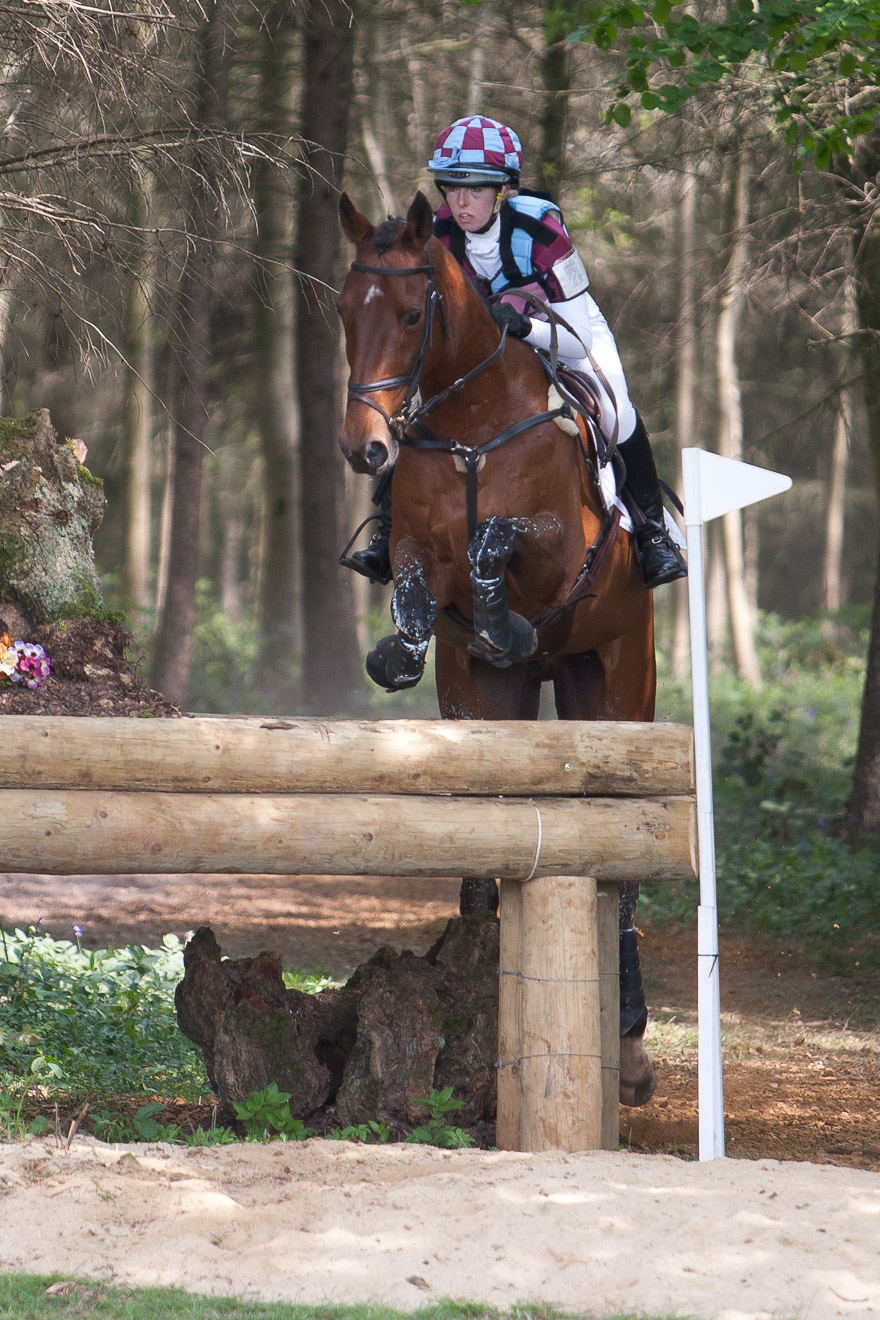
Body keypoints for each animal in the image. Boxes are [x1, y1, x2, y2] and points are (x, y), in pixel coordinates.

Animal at [337, 190, 658, 1107]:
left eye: (413, 315)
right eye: (342, 311)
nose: (365, 448)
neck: (472, 427)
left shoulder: (557, 553)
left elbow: (502, 540)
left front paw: (506, 615)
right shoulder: (418, 554)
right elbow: (415, 585)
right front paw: (399, 653)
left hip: (618, 684)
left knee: (623, 873)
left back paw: (629, 1035)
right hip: (487, 698)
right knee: (489, 837)